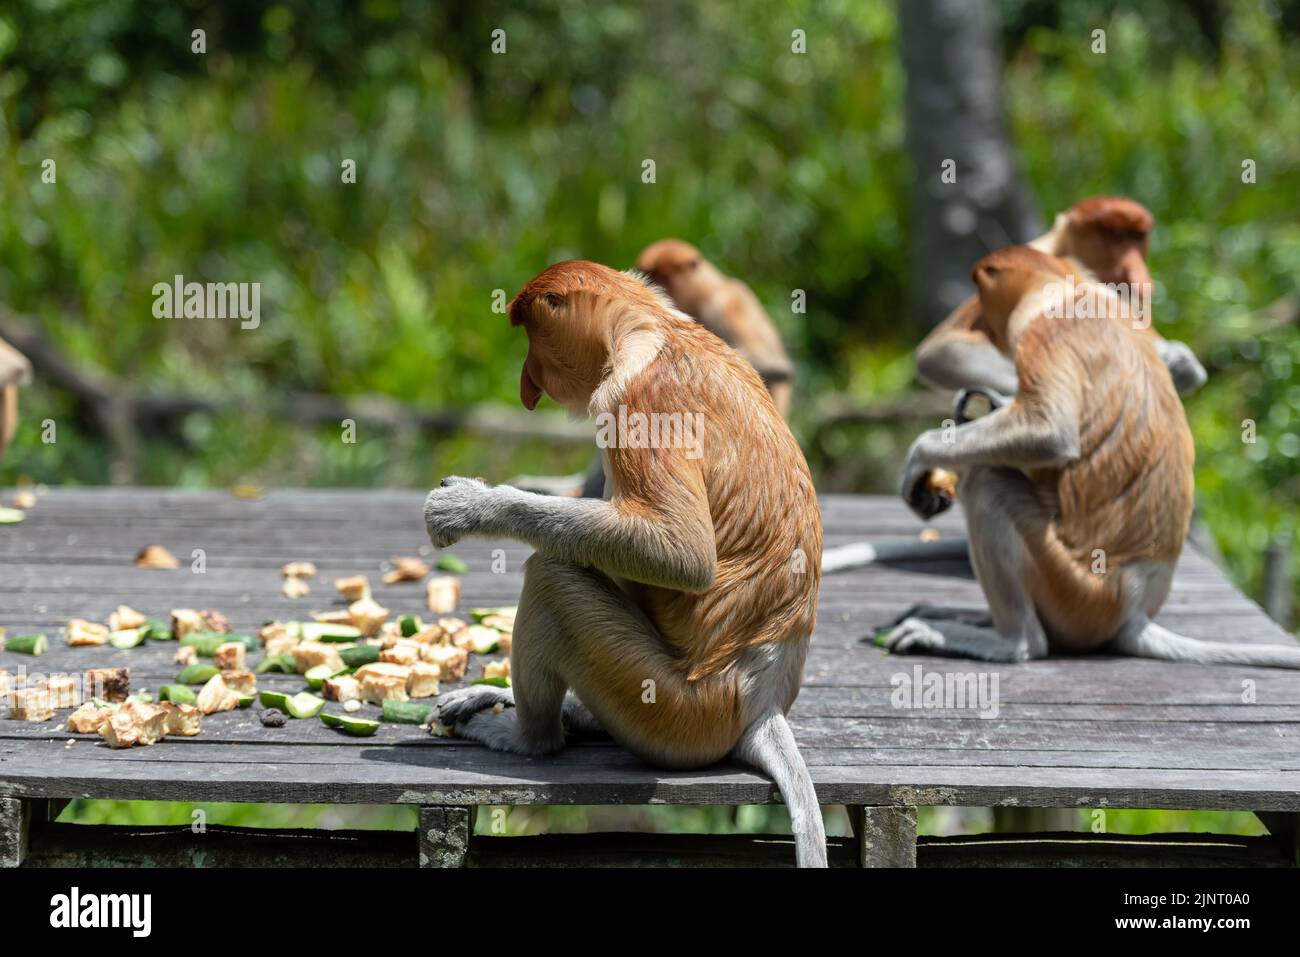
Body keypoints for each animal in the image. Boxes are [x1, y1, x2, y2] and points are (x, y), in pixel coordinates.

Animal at [423, 260, 829, 866]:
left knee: (552, 576)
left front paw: (470, 506)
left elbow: (681, 554)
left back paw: (526, 737)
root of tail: (764, 702)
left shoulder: (636, 398)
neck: (655, 323)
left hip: (674, 709)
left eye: (530, 335)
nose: (525, 382)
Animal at [880, 244, 1300, 669]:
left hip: (1075, 592)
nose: (978, 324)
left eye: (981, 295)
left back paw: (1007, 641)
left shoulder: (1047, 332)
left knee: (987, 482)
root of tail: (1134, 612)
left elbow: (1050, 433)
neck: (1067, 291)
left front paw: (920, 458)